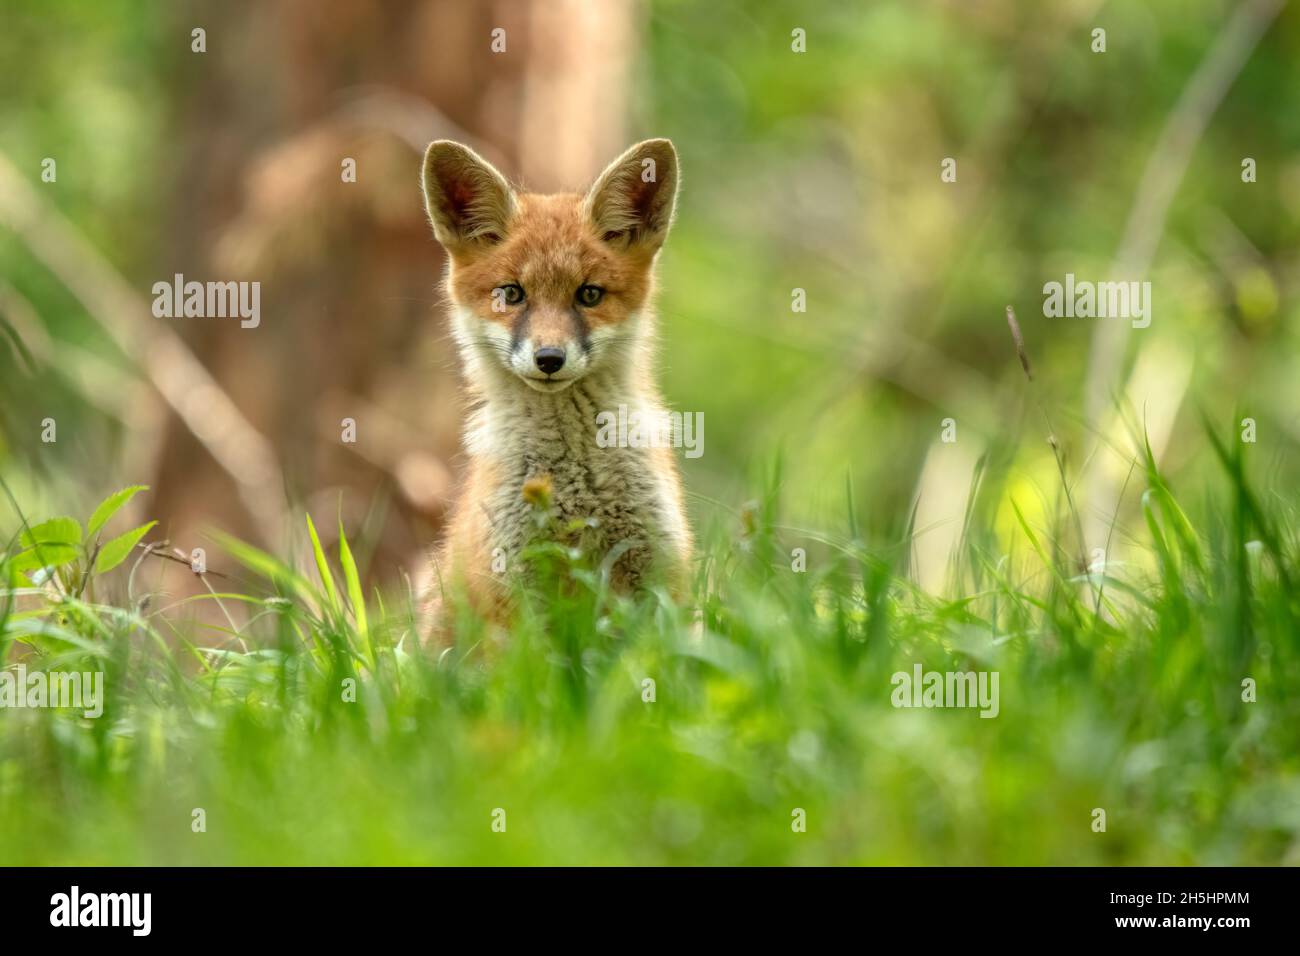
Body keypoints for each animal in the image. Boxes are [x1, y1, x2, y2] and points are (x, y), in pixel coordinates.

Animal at [419, 138, 693, 628]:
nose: (549, 358)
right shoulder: (513, 594)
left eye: (589, 294)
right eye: (511, 294)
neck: (575, 482)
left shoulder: (662, 578)